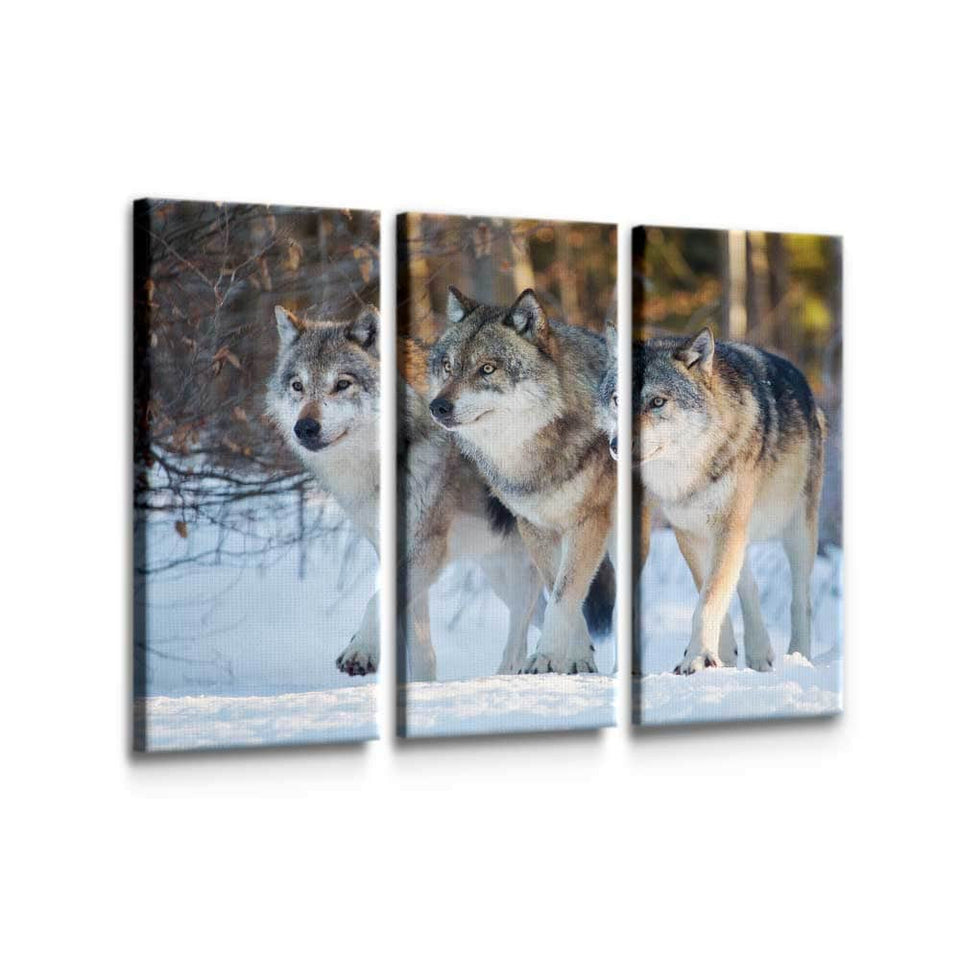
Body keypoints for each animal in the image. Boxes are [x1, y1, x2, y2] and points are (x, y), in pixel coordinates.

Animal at [267, 303, 544, 681]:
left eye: (342, 384)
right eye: (297, 385)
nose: (305, 427)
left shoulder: (425, 547)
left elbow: (377, 599)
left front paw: (361, 651)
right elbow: (421, 649)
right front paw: (423, 687)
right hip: (505, 571)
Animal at [428, 287, 616, 675]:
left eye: (487, 368)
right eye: (449, 367)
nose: (437, 407)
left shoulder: (589, 522)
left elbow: (564, 594)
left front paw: (546, 658)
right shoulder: (535, 527)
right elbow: (561, 590)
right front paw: (576, 659)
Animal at [632, 328, 826, 674]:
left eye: (657, 402)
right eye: (618, 400)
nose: (618, 444)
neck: (691, 469)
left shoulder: (726, 527)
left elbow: (709, 599)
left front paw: (697, 658)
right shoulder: (690, 533)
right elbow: (710, 594)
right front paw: (717, 655)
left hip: (797, 532)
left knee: (801, 599)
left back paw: (798, 657)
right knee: (748, 586)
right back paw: (758, 653)